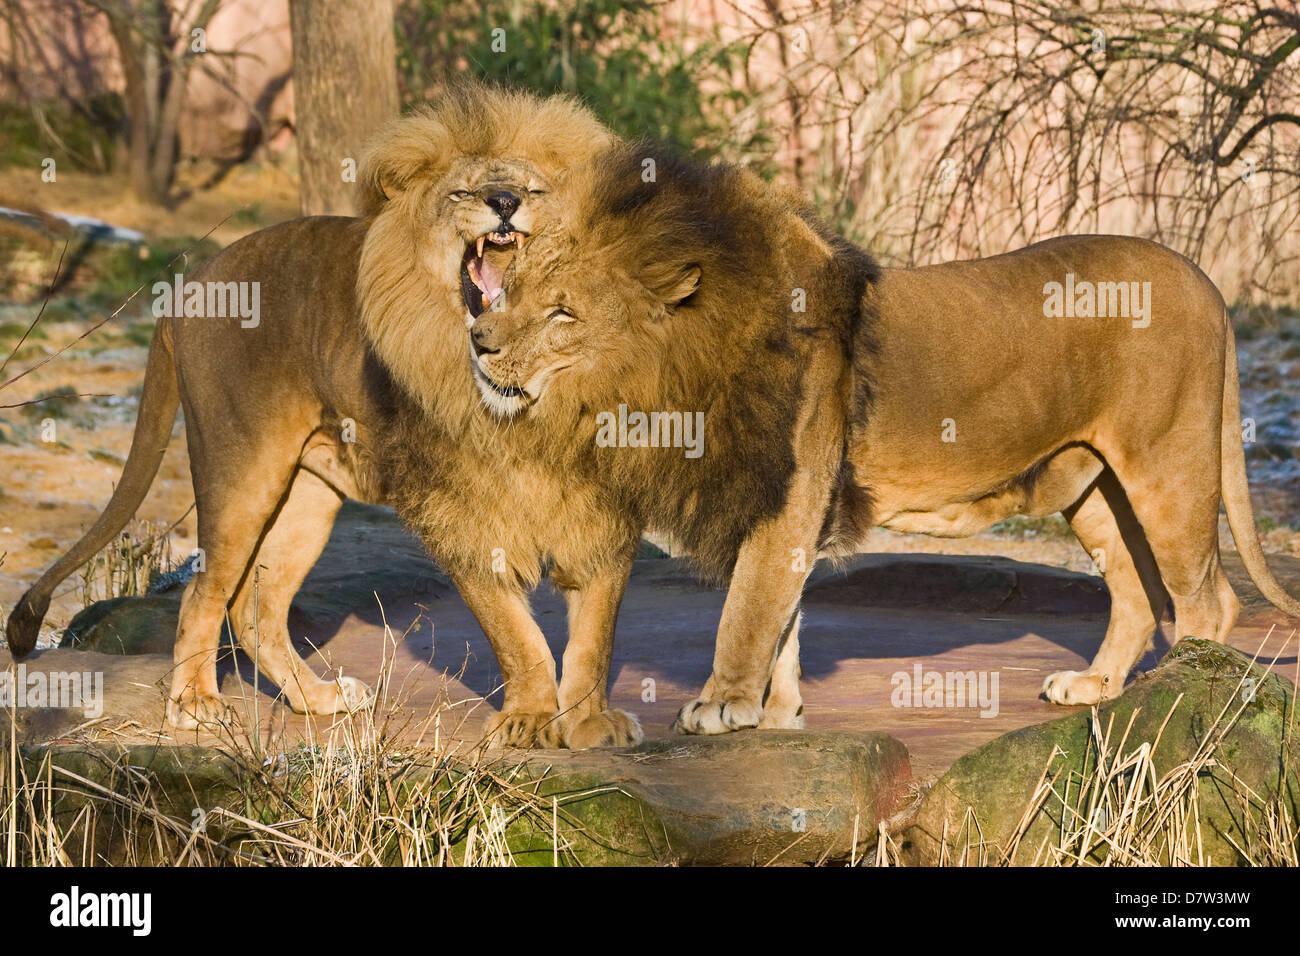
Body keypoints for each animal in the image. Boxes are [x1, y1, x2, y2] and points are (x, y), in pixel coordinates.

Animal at [3, 83, 624, 743]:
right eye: (464, 193)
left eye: (532, 190)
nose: (505, 202)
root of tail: (190, 285)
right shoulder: (454, 505)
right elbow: (513, 631)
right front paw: (532, 718)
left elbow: (597, 627)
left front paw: (593, 722)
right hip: (241, 472)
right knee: (204, 590)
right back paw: (196, 704)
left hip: (308, 493)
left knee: (255, 608)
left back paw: (317, 699)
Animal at [436, 141, 1300, 736]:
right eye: (508, 290)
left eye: (562, 312)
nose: (477, 340)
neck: (674, 378)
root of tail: (1203, 278)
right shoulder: (784, 505)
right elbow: (780, 616)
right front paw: (776, 715)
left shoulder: (789, 492)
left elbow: (748, 607)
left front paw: (721, 704)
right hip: (1090, 483)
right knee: (1136, 595)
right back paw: (1097, 689)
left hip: (1168, 467)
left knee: (1209, 599)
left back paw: (1179, 699)